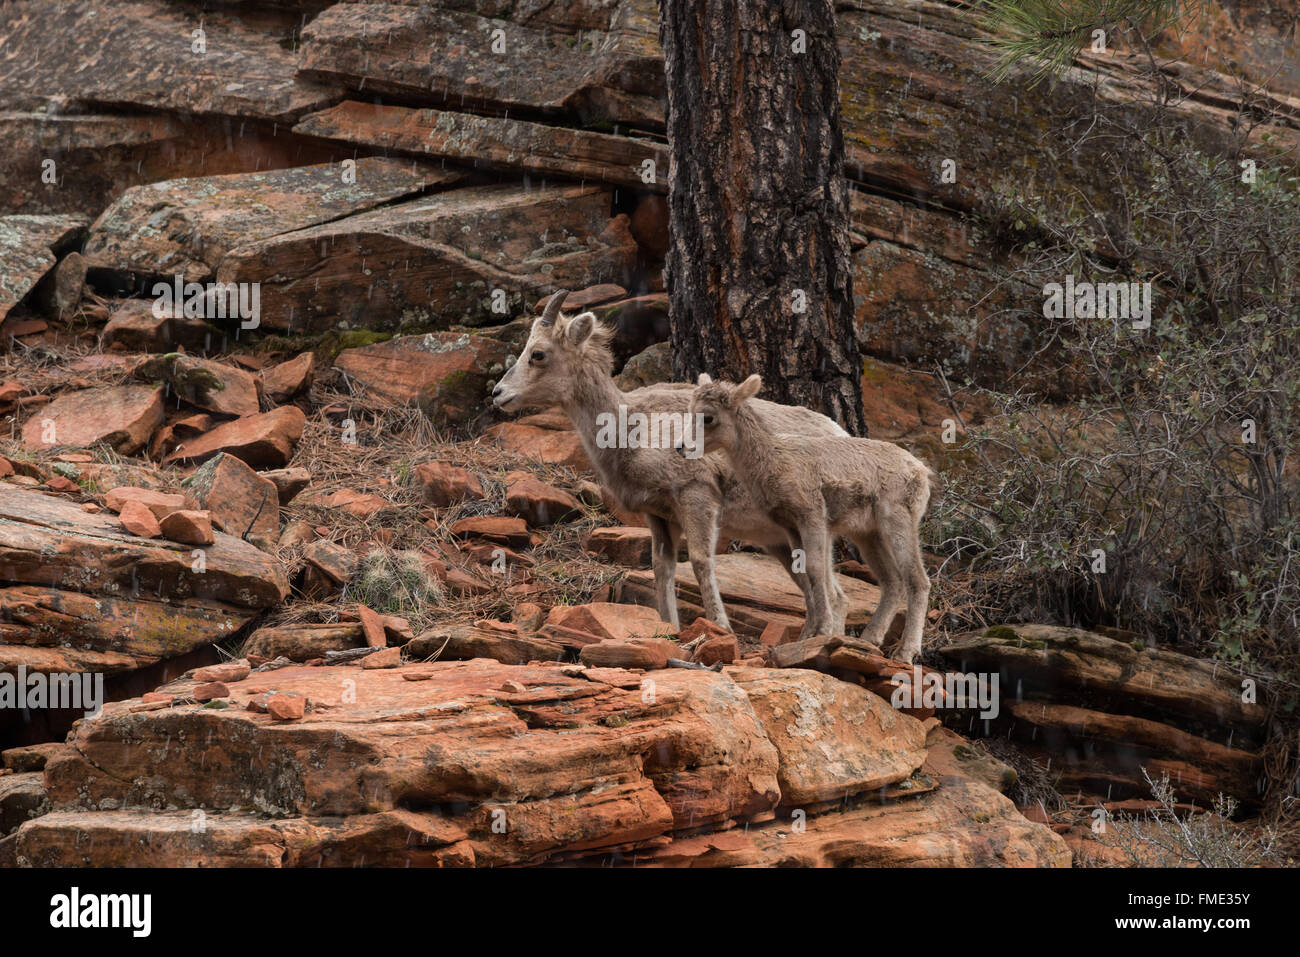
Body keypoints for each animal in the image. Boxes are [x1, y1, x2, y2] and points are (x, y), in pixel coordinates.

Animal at [490, 292, 850, 635]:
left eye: (538, 353)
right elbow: (661, 568)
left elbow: (701, 561)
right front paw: (670, 627)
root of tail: (840, 433)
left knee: (833, 595)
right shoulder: (658, 515)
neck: (633, 429)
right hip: (780, 540)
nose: (498, 394)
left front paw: (720, 627)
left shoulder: (696, 495)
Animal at [687, 373, 936, 663]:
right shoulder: (791, 526)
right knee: (892, 582)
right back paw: (869, 639)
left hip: (899, 522)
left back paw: (904, 653)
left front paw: (823, 630)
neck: (776, 462)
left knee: (917, 580)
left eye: (708, 417)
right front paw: (809, 635)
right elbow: (807, 573)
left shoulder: (813, 517)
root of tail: (922, 472)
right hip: (868, 535)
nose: (683, 448)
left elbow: (817, 570)